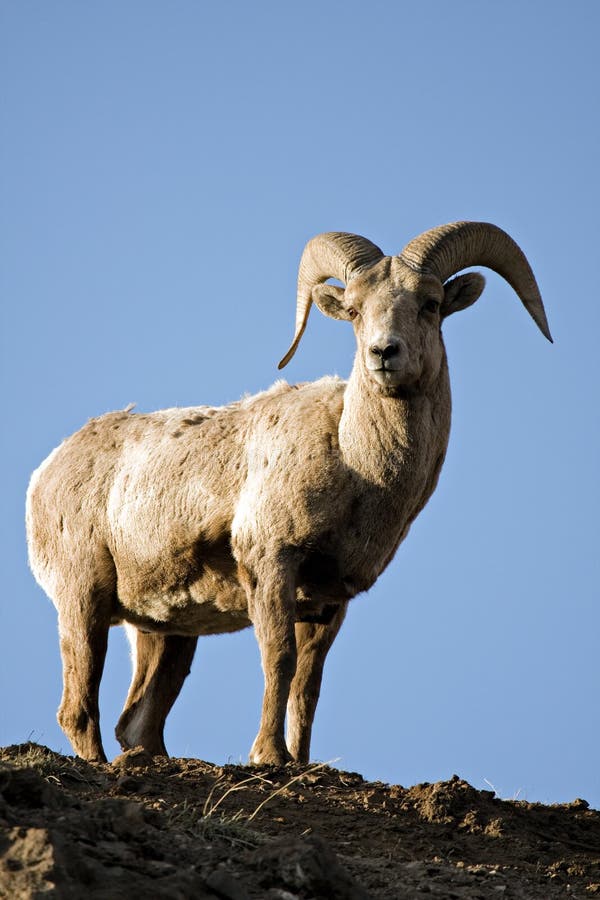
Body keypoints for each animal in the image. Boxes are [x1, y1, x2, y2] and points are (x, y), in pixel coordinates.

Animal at [26, 221, 552, 766]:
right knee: (77, 710)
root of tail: (46, 473)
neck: (355, 464)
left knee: (138, 723)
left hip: (165, 632)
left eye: (430, 303)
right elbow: (279, 660)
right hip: (83, 601)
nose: (384, 354)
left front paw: (297, 760)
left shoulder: (327, 601)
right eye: (355, 310)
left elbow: (307, 683)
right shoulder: (273, 566)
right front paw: (269, 756)